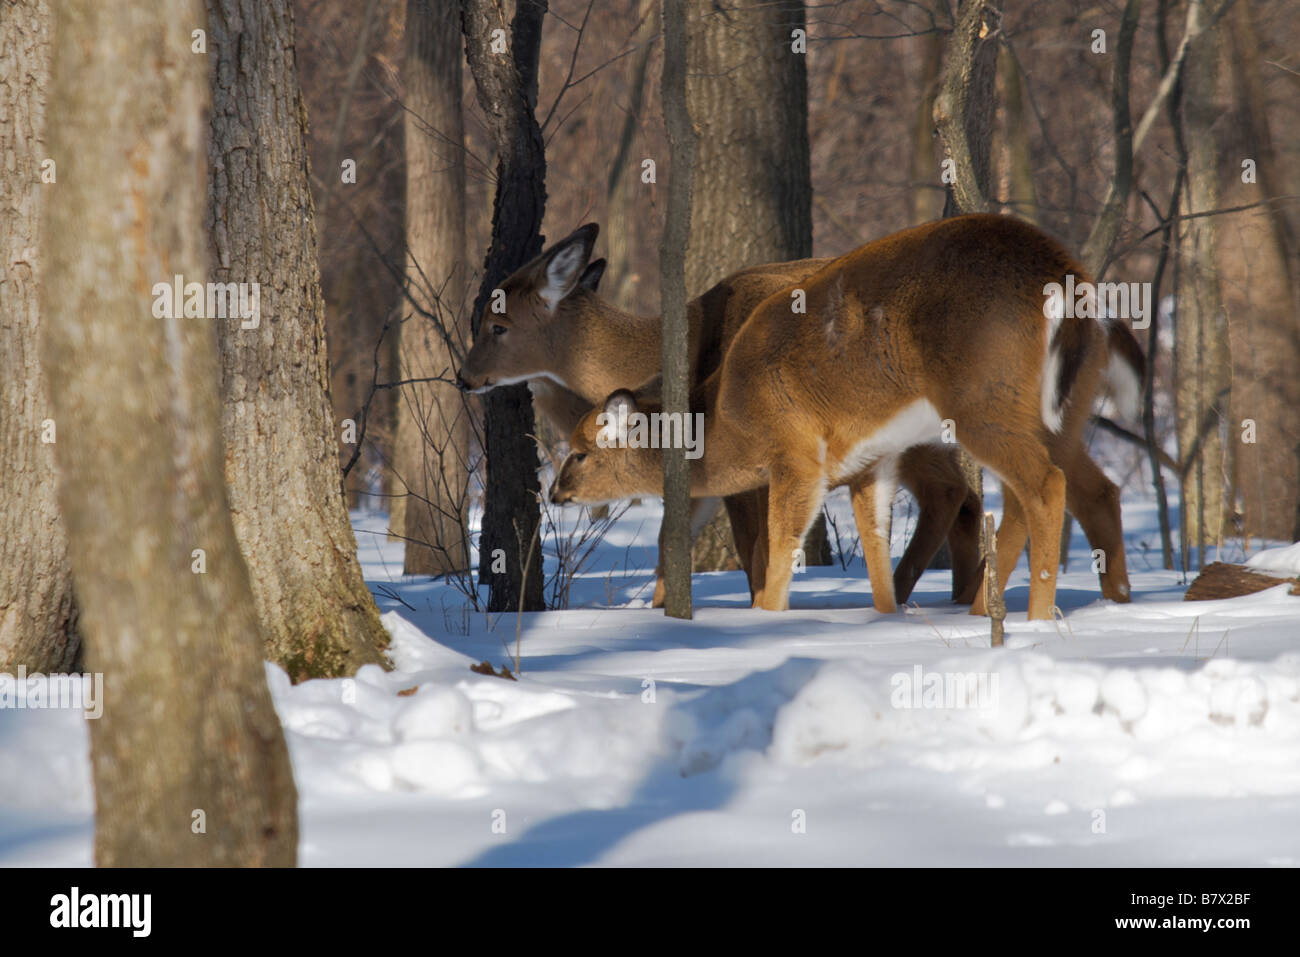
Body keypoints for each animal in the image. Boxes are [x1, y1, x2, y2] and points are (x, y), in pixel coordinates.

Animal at [457, 224, 984, 613]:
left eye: (498, 325)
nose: (463, 377)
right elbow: (673, 541)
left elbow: (753, 547)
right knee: (965, 496)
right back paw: (955, 598)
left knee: (950, 491)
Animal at [550, 214, 1145, 621]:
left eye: (580, 451)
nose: (555, 494)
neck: (728, 419)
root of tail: (1069, 278)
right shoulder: (869, 461)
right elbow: (875, 546)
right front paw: (884, 616)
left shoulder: (796, 453)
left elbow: (780, 545)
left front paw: (767, 618)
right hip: (1063, 411)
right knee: (1090, 488)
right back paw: (1110, 601)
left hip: (984, 402)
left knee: (1044, 486)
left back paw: (1036, 616)